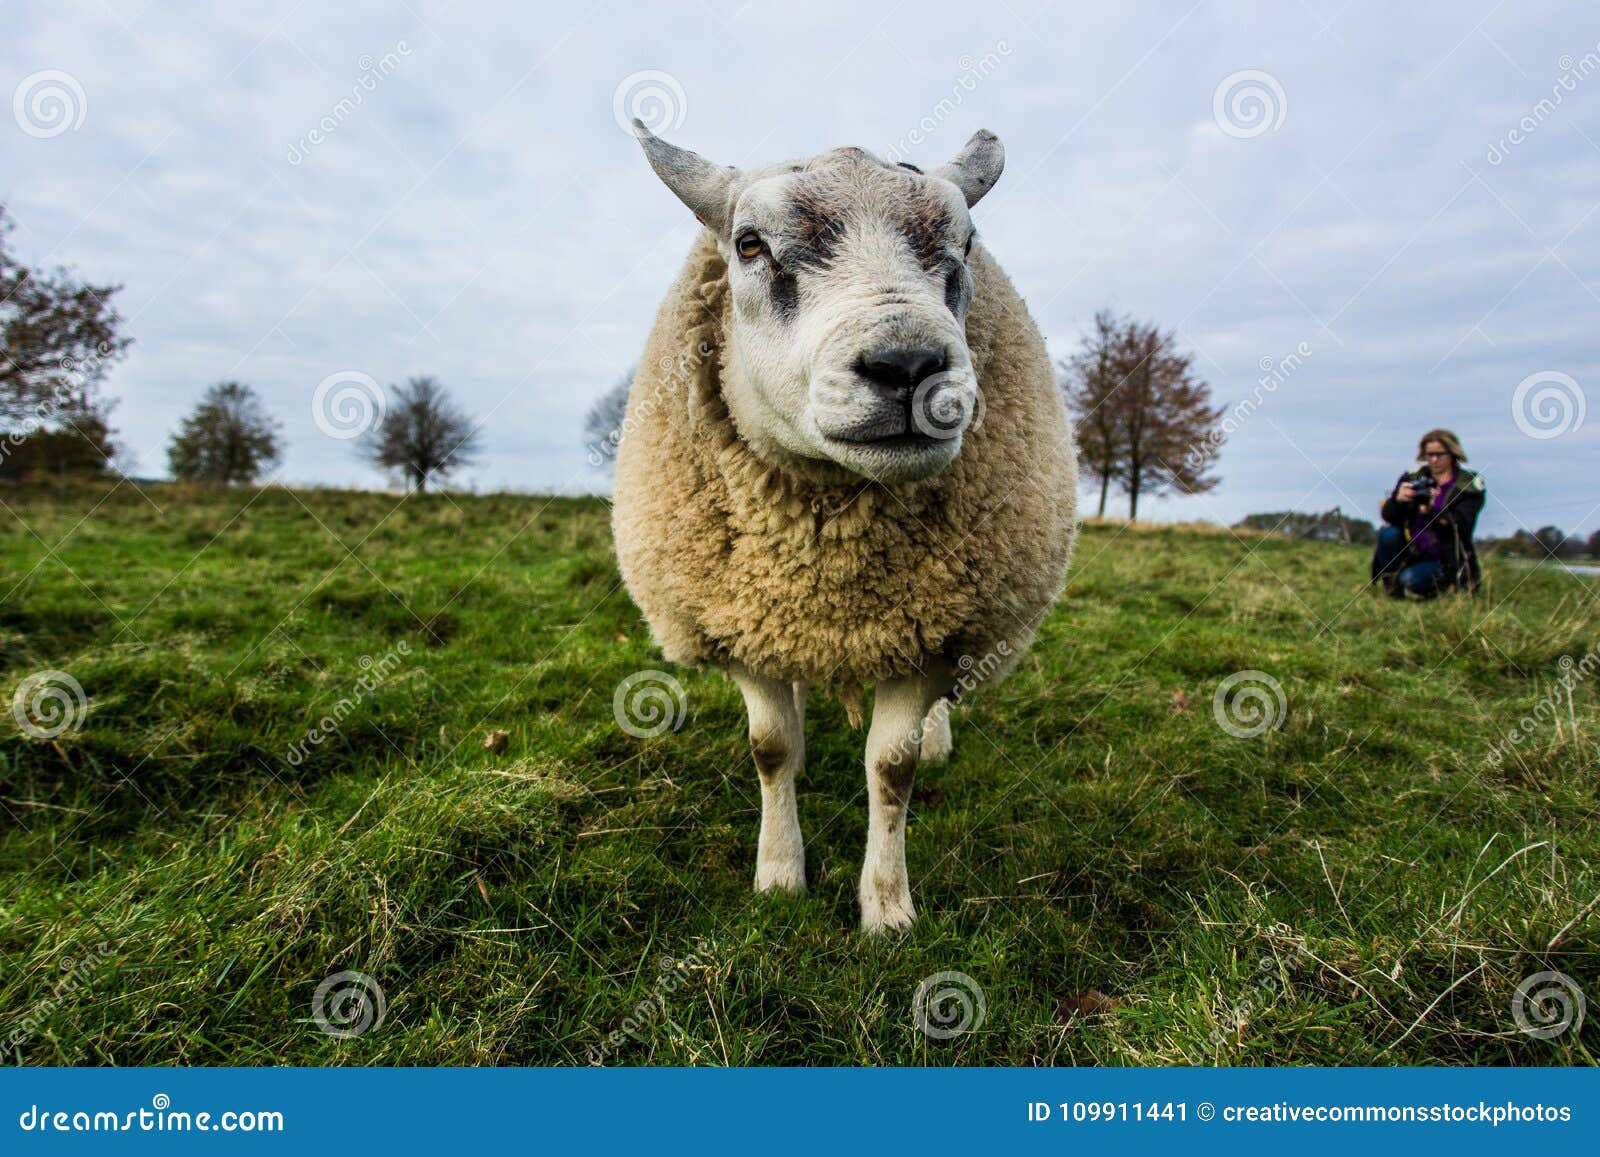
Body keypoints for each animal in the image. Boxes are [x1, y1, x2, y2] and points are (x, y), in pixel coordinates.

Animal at [613, 122, 1077, 932]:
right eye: (749, 244)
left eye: (966, 242)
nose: (909, 363)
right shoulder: (745, 619)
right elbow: (770, 748)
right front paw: (778, 875)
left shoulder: (931, 633)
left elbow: (892, 768)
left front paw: (887, 909)